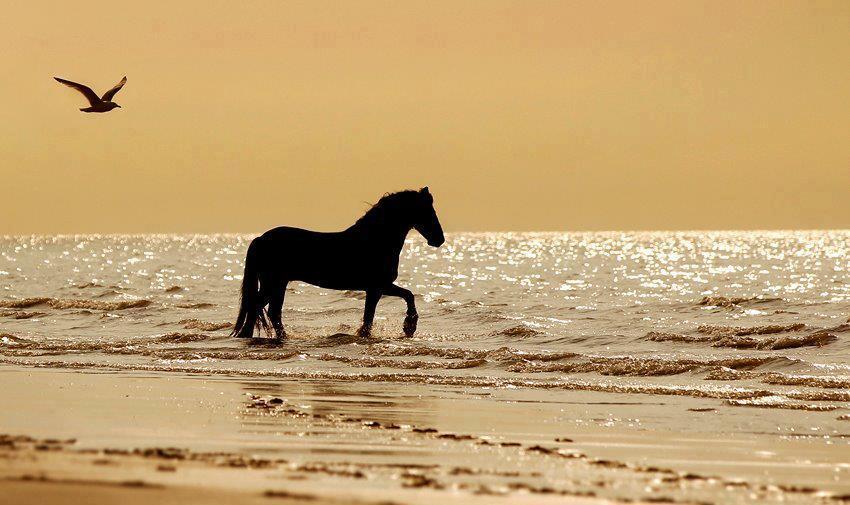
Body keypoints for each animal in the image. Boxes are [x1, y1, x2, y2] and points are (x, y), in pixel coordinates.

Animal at [231, 187, 445, 339]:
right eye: (427, 211)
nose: (439, 239)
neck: (374, 240)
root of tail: (260, 238)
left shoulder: (377, 288)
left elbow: (383, 308)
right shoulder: (378, 286)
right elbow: (399, 300)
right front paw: (409, 327)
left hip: (278, 284)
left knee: (269, 310)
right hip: (273, 284)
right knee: (259, 307)